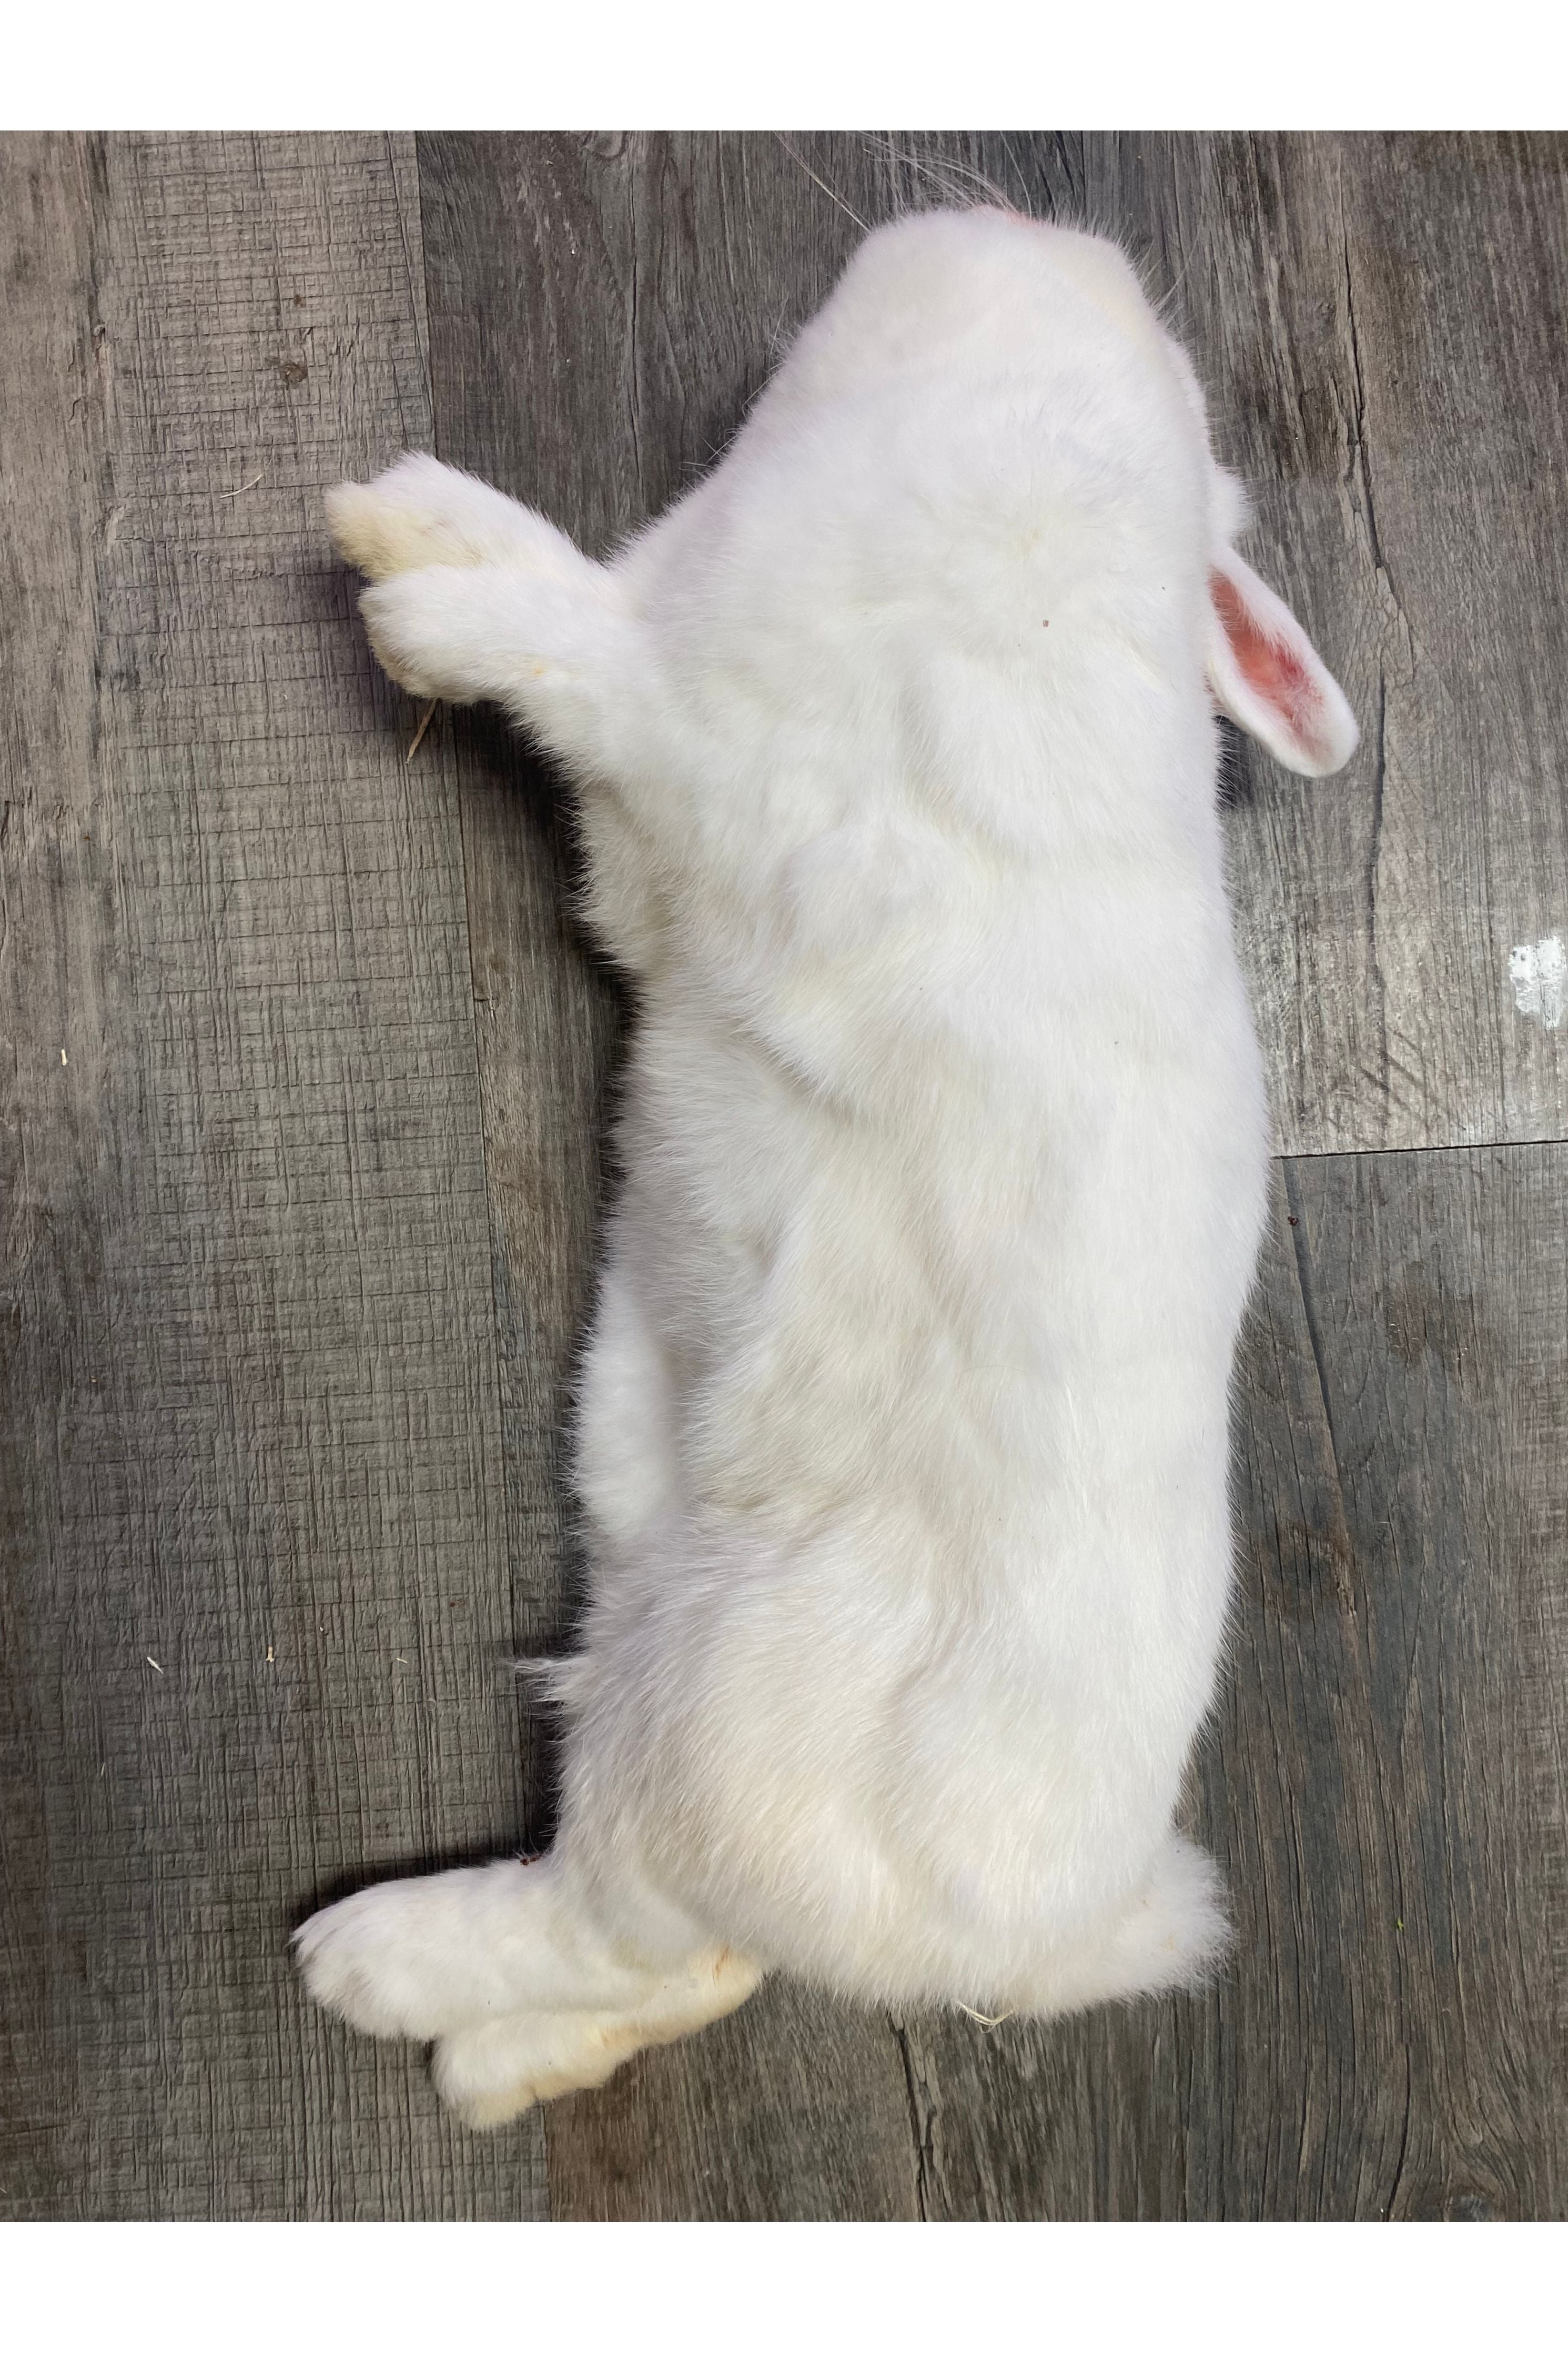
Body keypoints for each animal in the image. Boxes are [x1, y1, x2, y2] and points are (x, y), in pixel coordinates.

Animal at [295, 204, 1358, 2129]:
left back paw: (378, 1974)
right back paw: (498, 2065)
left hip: (703, 1725)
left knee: (615, 1922)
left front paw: (413, 603)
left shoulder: (702, 734)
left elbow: (579, 651)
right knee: (686, 1964)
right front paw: (409, 509)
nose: (1044, 230)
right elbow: (569, 586)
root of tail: (1051, 1930)